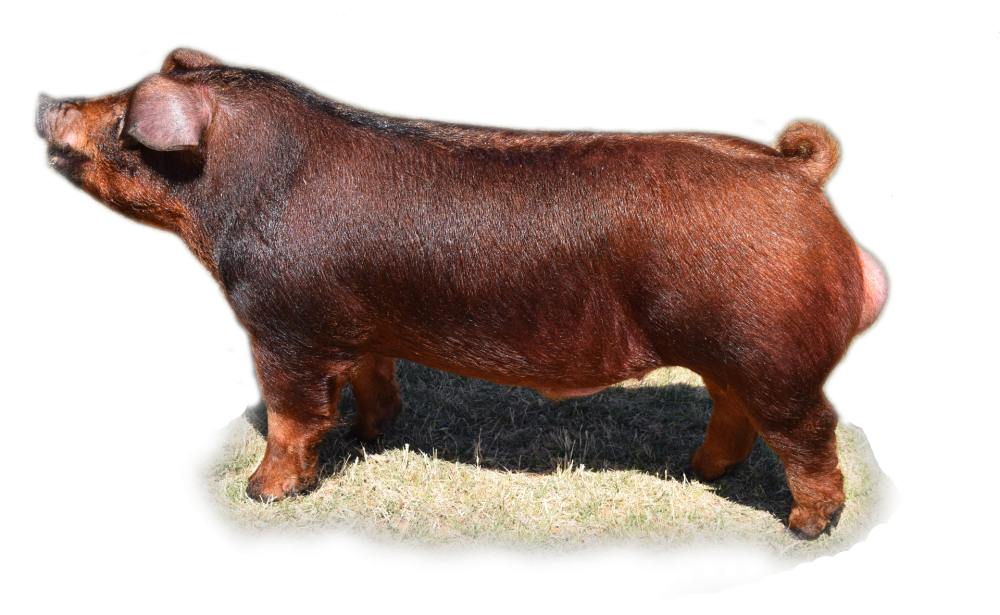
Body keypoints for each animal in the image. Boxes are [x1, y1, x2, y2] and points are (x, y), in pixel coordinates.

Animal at [32, 45, 890, 540]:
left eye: (121, 112)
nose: (40, 96)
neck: (230, 197)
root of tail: (799, 173)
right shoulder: (360, 327)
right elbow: (372, 378)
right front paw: (373, 432)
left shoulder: (281, 328)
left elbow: (291, 416)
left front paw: (264, 494)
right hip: (734, 352)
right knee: (735, 413)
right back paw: (700, 472)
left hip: (773, 354)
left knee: (810, 434)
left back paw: (805, 526)